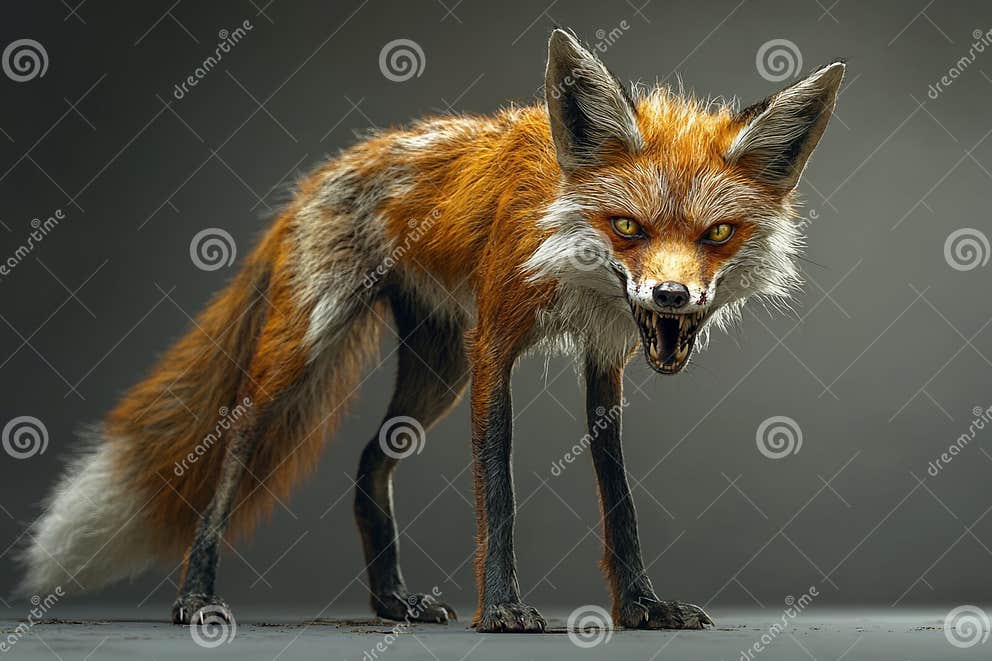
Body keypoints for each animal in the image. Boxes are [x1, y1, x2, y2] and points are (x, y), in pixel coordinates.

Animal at [18, 29, 843, 633]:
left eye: (718, 233)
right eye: (628, 227)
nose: (671, 295)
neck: (557, 227)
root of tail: (320, 175)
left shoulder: (603, 359)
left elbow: (618, 494)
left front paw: (641, 605)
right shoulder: (494, 344)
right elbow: (498, 484)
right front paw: (503, 607)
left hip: (433, 372)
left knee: (365, 465)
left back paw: (392, 600)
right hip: (306, 351)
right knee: (230, 449)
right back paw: (196, 593)